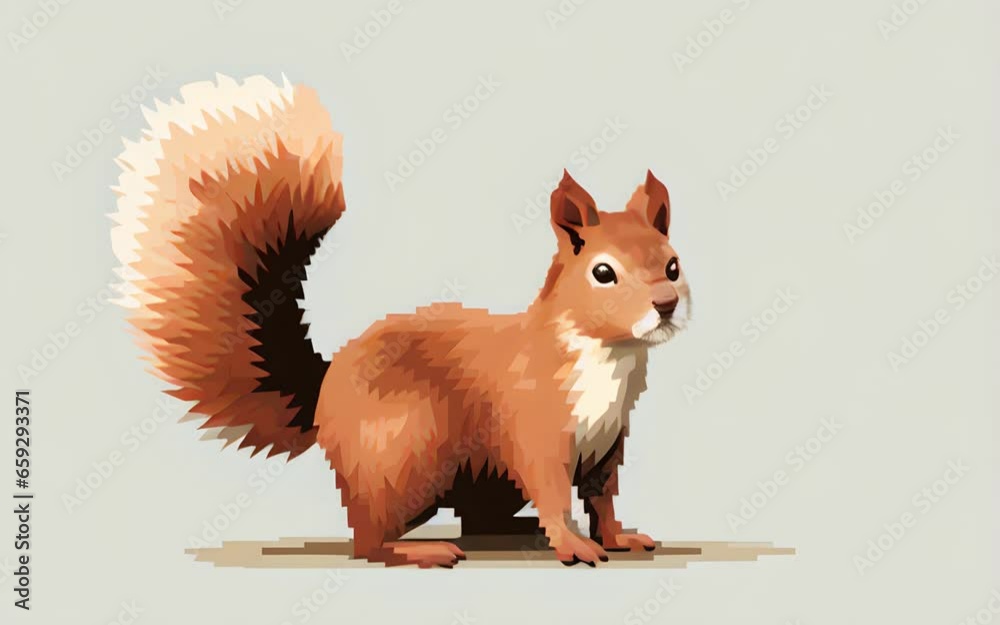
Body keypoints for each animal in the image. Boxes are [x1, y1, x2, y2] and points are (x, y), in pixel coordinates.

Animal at [110, 74, 692, 568]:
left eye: (673, 264)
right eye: (602, 272)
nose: (665, 304)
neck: (608, 356)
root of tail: (324, 394)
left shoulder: (610, 440)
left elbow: (603, 496)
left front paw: (616, 537)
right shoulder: (535, 428)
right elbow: (552, 492)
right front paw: (573, 545)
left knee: (476, 519)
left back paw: (510, 531)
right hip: (406, 454)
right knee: (367, 541)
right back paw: (419, 549)